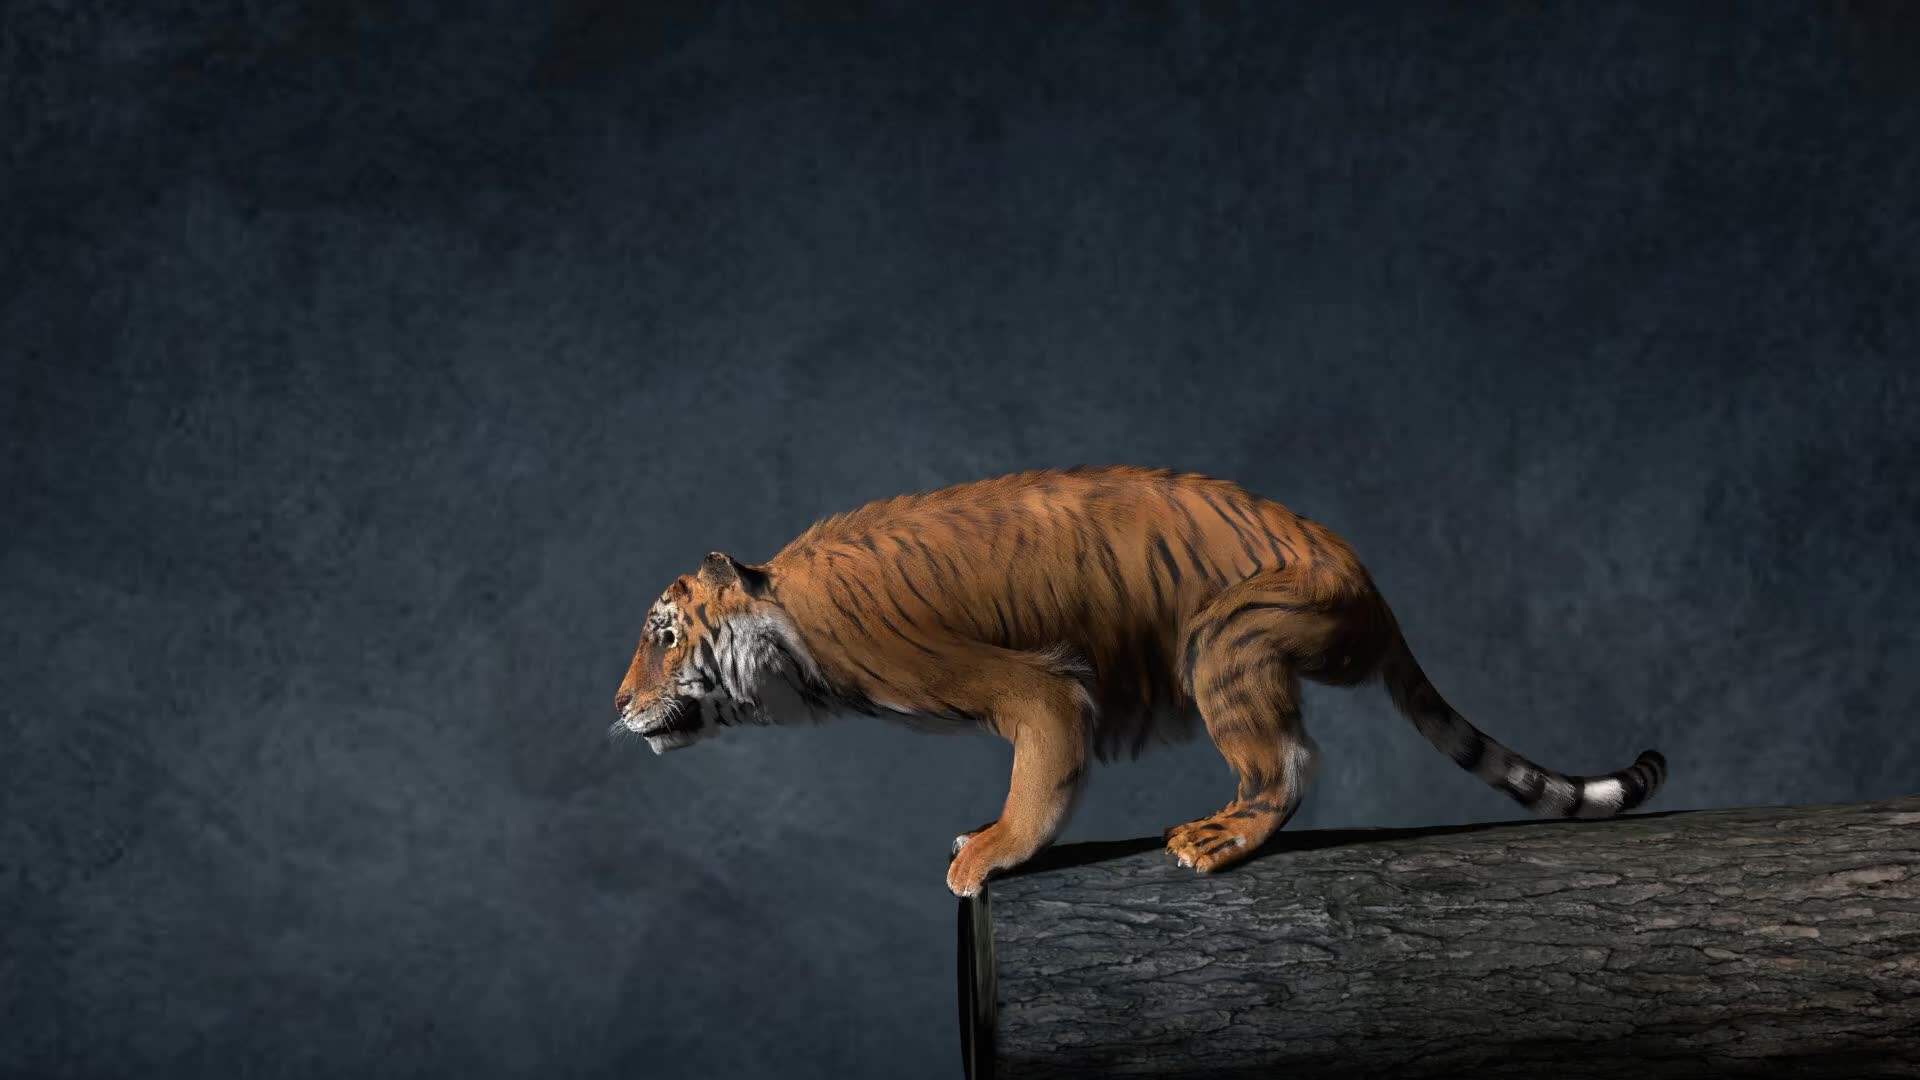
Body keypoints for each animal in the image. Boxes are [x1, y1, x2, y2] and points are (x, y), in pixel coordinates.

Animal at [612, 465, 1667, 898]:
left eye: (661, 635)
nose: (617, 705)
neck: (782, 624)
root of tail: (1362, 572)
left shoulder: (1031, 686)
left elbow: (1041, 780)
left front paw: (988, 853)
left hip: (1227, 638)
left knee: (1288, 758)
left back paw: (1219, 837)